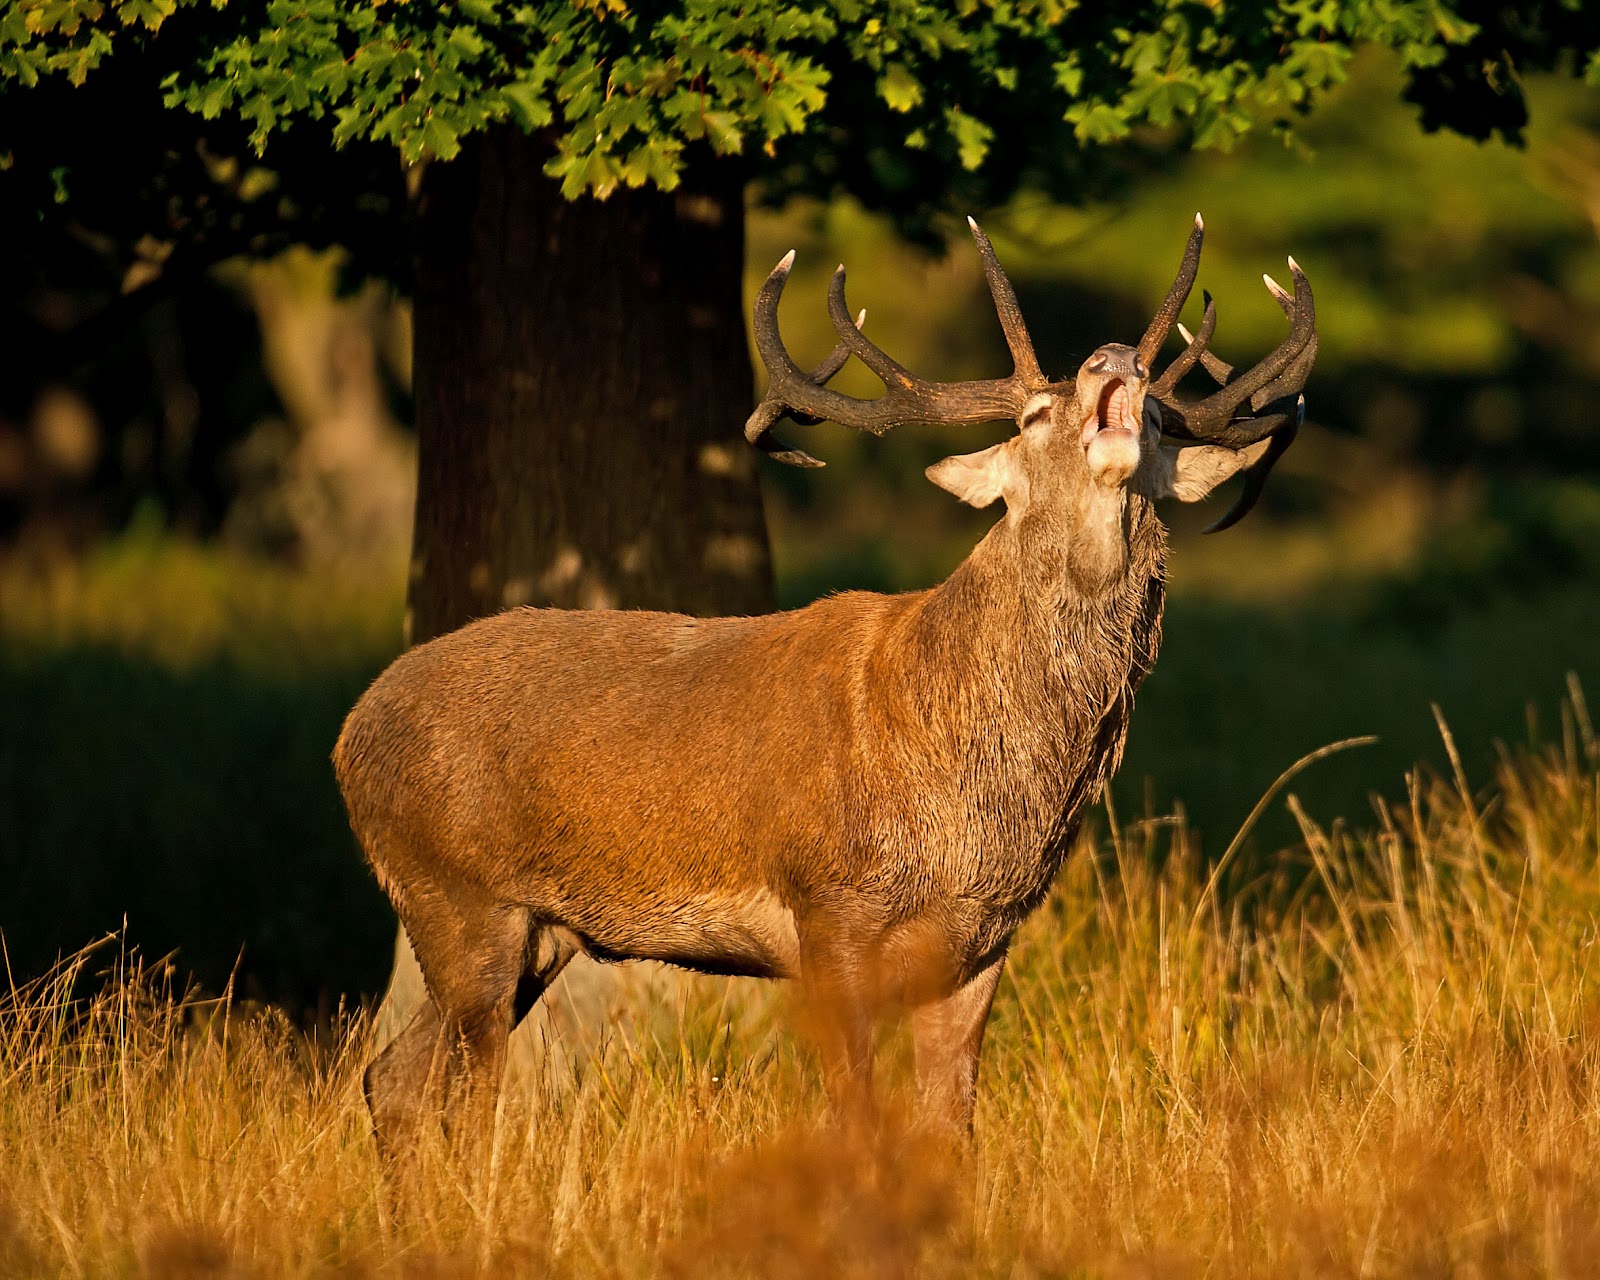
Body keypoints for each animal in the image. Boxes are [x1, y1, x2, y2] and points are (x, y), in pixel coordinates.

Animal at [334, 215, 1316, 1154]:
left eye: (1157, 420)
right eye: (1038, 415)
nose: (1114, 359)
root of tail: (351, 732)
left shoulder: (984, 941)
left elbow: (951, 1129)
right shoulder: (829, 907)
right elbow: (856, 1119)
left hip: (535, 931)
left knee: (394, 1079)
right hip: (456, 893)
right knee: (460, 1097)